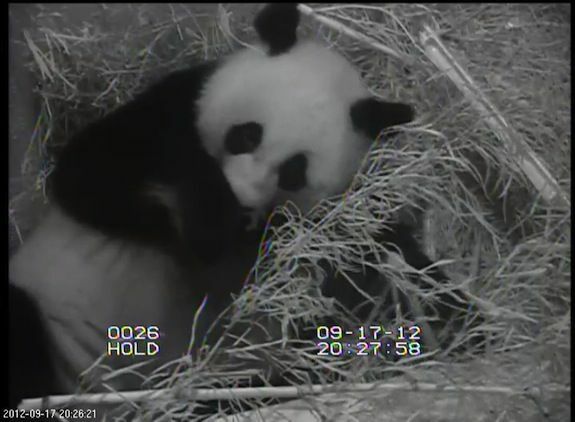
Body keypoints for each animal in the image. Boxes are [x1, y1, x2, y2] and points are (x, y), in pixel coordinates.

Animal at [9, 2, 480, 416]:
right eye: (247, 135)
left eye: (294, 172)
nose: (241, 200)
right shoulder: (171, 107)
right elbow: (89, 175)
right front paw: (208, 221)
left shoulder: (334, 222)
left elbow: (368, 254)